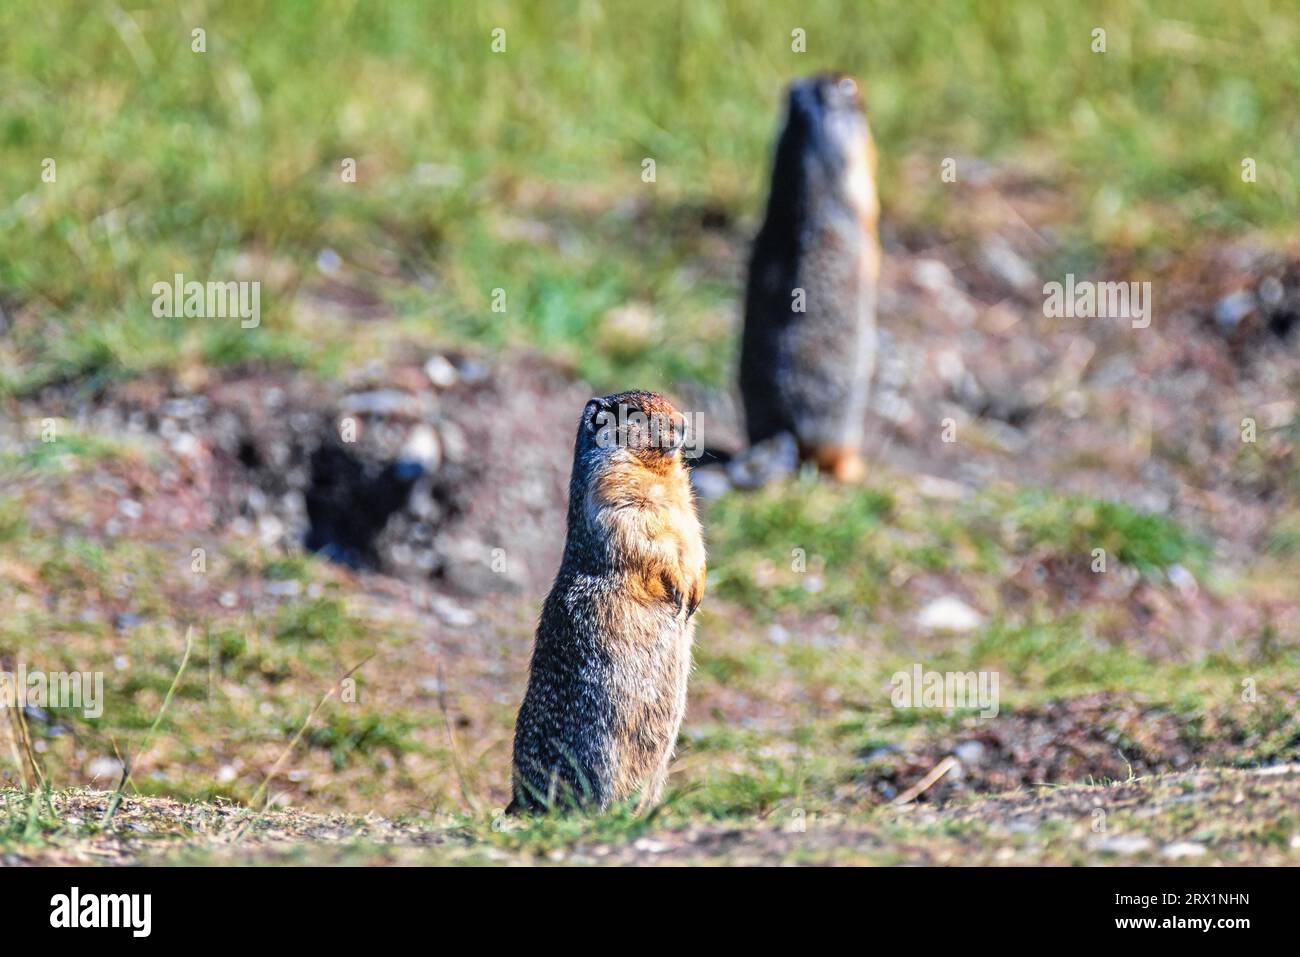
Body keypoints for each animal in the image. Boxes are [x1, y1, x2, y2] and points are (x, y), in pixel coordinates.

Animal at [508, 390, 706, 813]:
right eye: (635, 414)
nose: (684, 424)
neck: (658, 471)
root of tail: (519, 799)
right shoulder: (615, 495)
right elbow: (645, 538)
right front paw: (680, 589)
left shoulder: (686, 507)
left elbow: (693, 538)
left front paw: (696, 590)